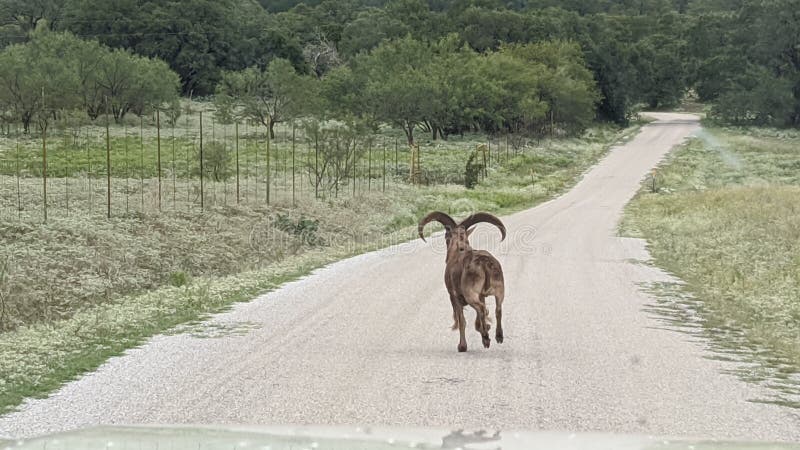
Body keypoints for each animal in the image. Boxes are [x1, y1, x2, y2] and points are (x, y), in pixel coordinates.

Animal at [418, 211, 506, 352]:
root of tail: (483, 263)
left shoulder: (454, 296)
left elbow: (461, 321)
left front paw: (462, 346)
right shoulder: (482, 296)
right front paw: (485, 327)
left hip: (470, 293)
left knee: (481, 308)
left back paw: (486, 339)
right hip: (499, 288)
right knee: (497, 308)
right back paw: (498, 336)